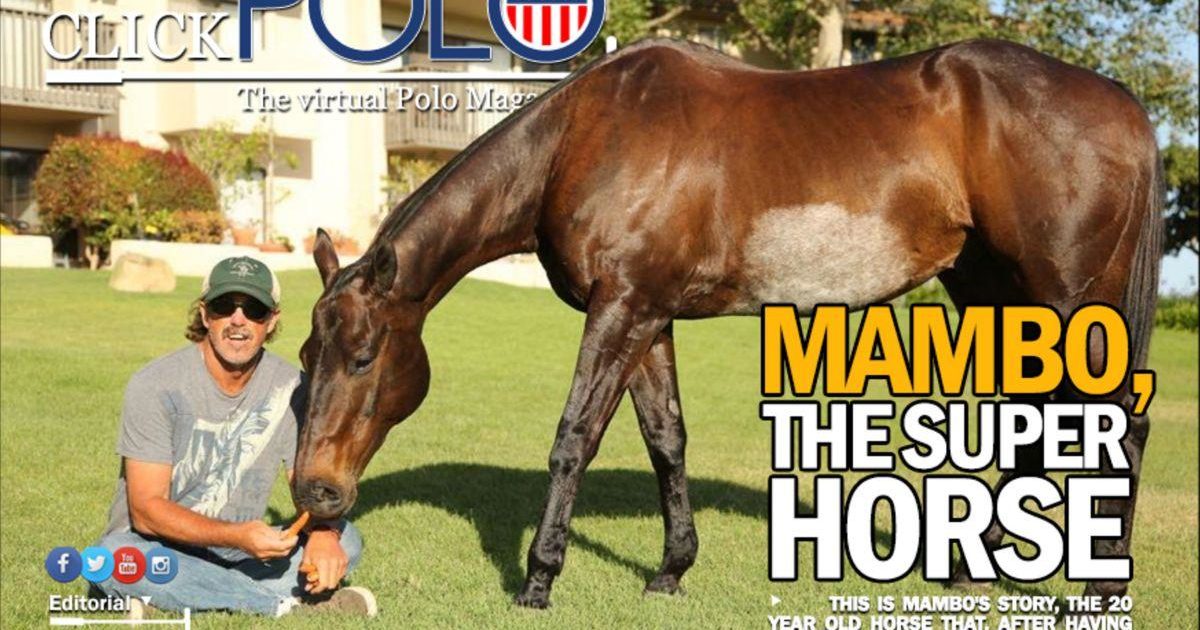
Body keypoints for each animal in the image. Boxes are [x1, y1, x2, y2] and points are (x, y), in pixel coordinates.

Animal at [291, 38, 1162, 609]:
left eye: (363, 356)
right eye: (305, 357)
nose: (314, 491)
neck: (586, 133)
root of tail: (1124, 104)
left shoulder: (621, 309)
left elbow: (575, 437)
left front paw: (538, 579)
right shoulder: (648, 316)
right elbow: (665, 439)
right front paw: (671, 570)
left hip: (1068, 300)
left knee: (1118, 422)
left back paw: (1096, 589)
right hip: (993, 292)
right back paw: (971, 567)